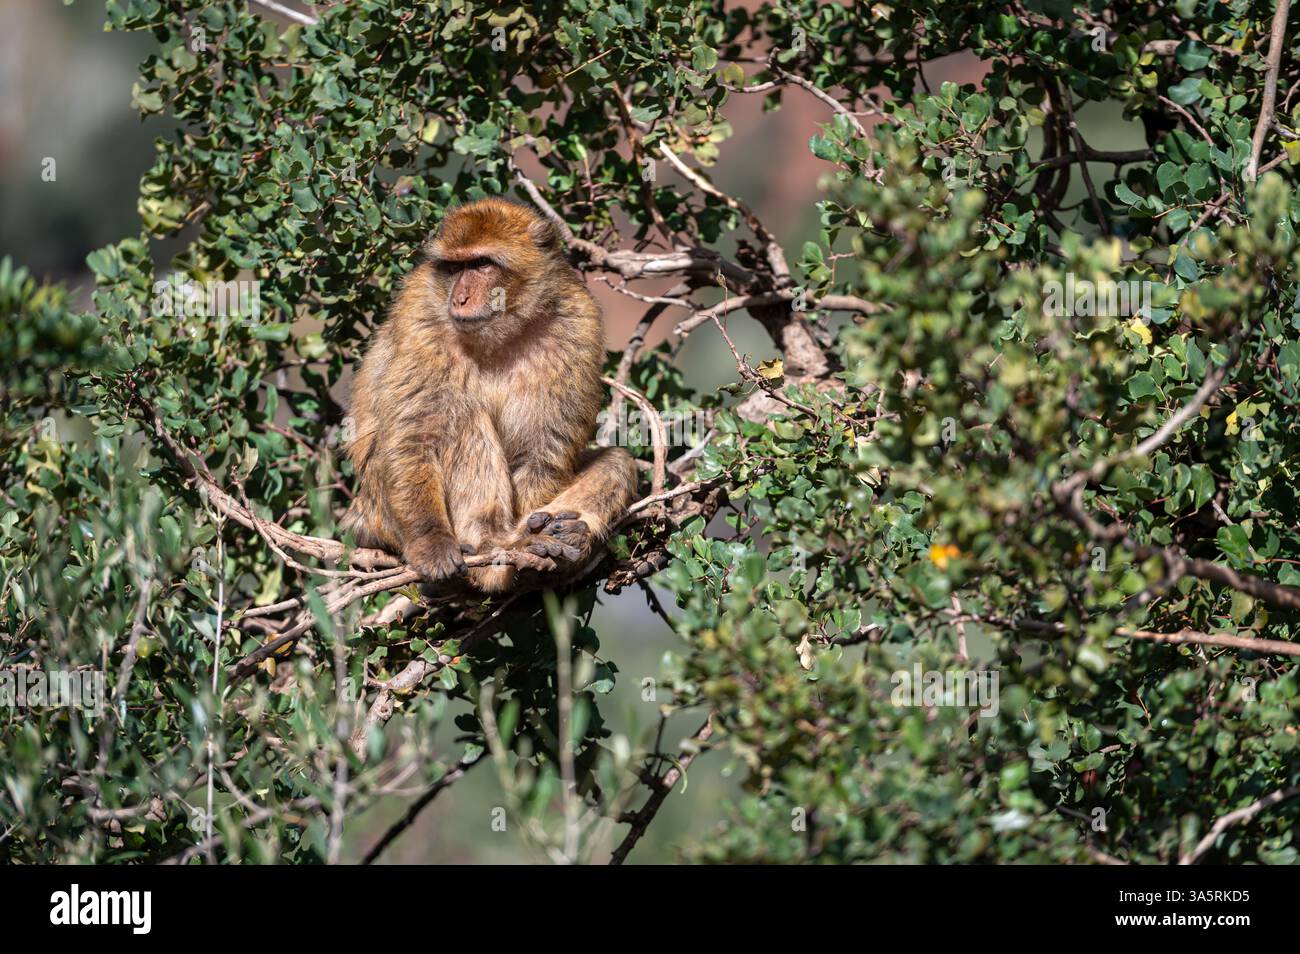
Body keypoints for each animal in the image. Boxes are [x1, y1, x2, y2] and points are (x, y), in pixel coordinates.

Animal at [340, 198, 639, 593]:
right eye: (455, 267)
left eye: (482, 264)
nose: (460, 298)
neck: (503, 330)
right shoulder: (419, 317)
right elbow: (414, 435)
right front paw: (431, 542)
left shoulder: (579, 324)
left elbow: (544, 447)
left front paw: (537, 540)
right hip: (380, 508)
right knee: (462, 418)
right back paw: (490, 547)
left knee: (618, 462)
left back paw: (548, 540)